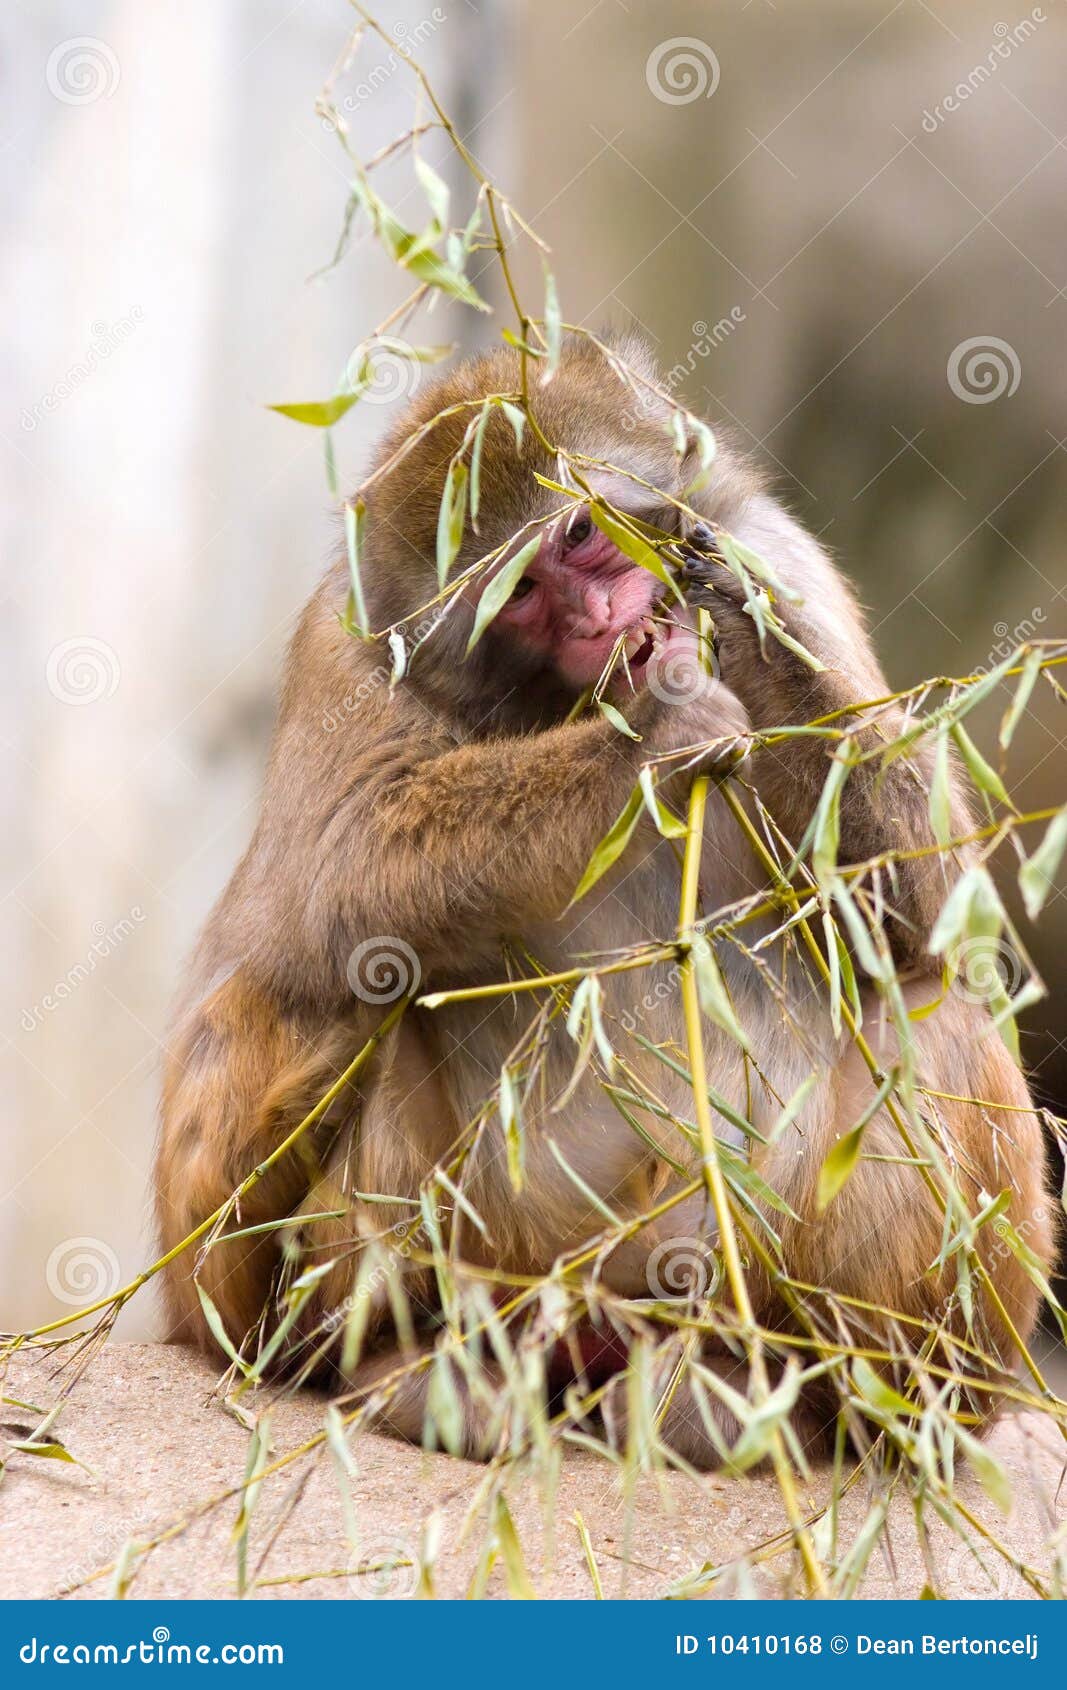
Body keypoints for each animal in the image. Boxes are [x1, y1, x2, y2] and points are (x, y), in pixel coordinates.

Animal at [156, 334, 1051, 1468]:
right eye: (521, 592)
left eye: (584, 535)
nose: (600, 619)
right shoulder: (344, 643)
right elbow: (334, 876)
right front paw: (661, 729)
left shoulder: (783, 555)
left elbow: (924, 901)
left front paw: (728, 623)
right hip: (345, 1276)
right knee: (347, 994)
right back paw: (395, 1367)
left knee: (919, 1003)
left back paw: (833, 1410)